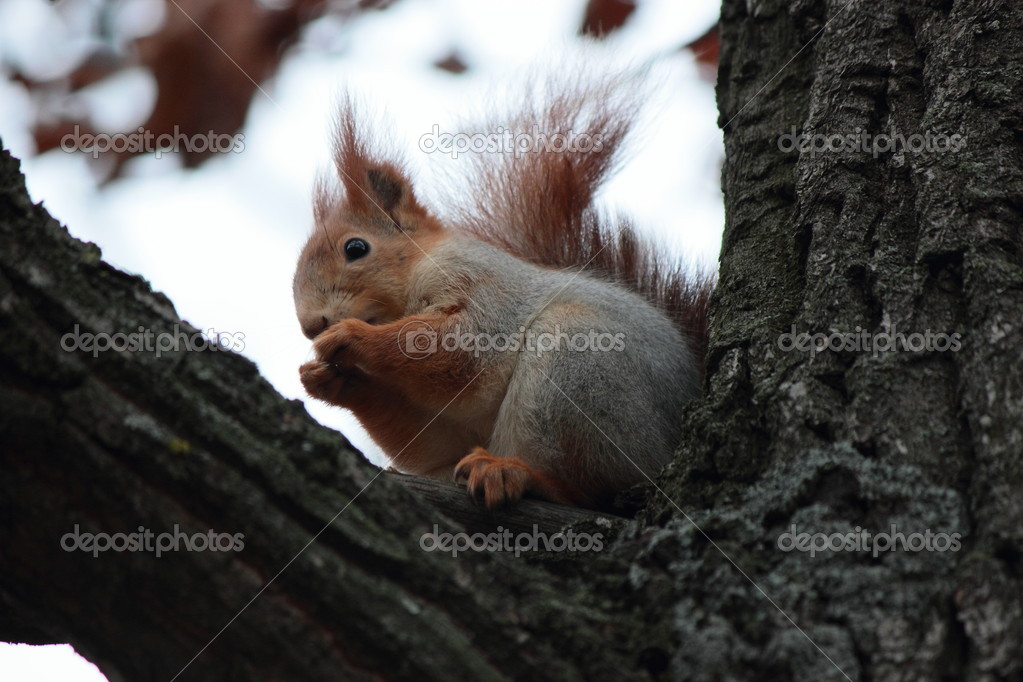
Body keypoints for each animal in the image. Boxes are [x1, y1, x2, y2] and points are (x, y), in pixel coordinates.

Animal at [294, 77, 712, 511]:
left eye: (356, 248)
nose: (311, 324)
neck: (417, 270)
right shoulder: (447, 428)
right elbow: (433, 437)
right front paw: (329, 380)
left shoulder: (483, 285)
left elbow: (463, 350)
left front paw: (352, 336)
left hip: (582, 365)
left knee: (591, 490)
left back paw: (516, 473)